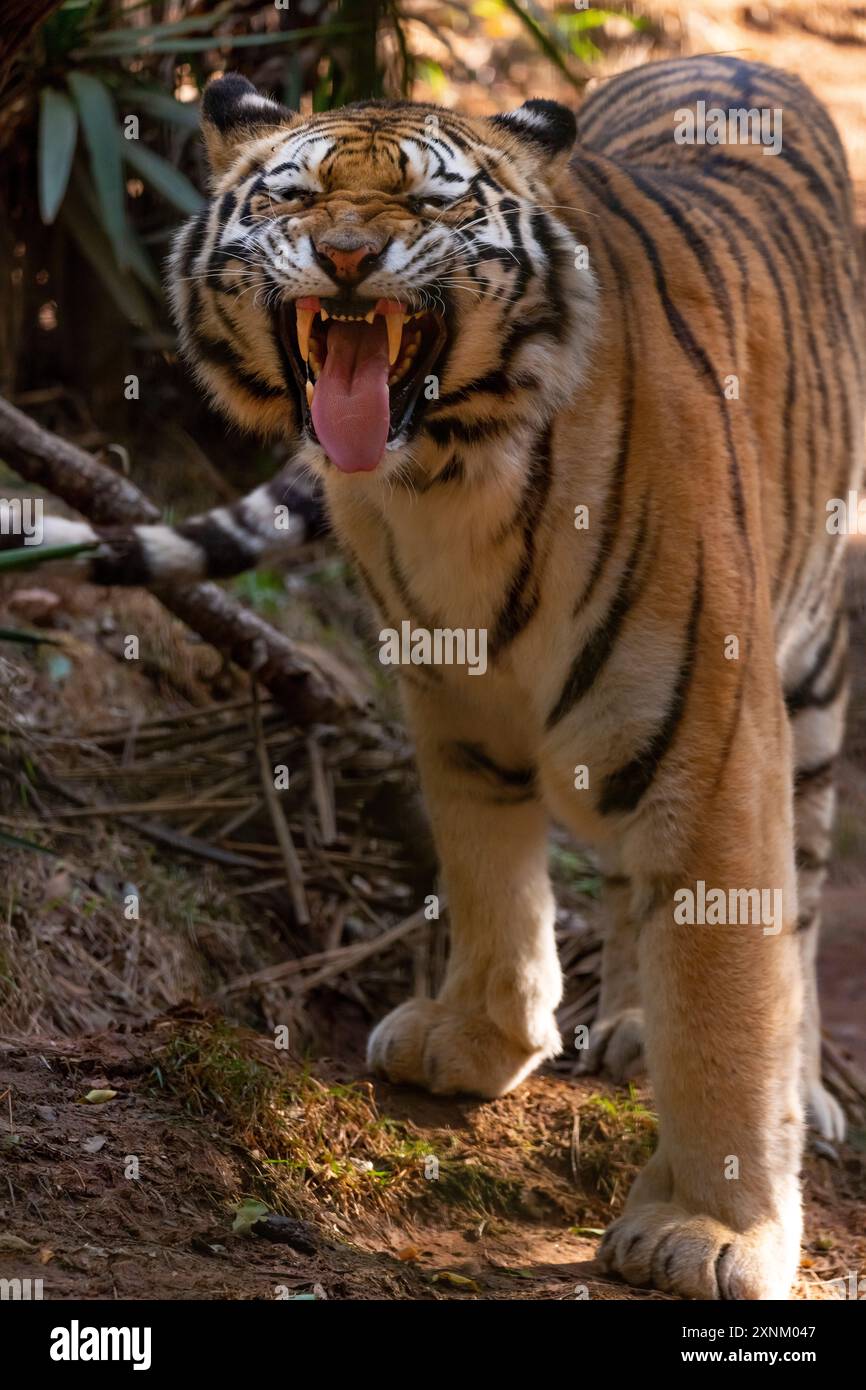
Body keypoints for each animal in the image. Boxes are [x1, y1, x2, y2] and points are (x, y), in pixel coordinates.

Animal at [11, 56, 864, 1300]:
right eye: (294, 196)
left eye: (429, 203)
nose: (346, 257)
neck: (450, 479)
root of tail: (728, 60)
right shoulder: (454, 699)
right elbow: (485, 874)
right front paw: (481, 1039)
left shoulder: (714, 742)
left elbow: (725, 991)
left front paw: (710, 1229)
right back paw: (626, 1024)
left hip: (805, 680)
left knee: (789, 904)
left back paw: (790, 1083)